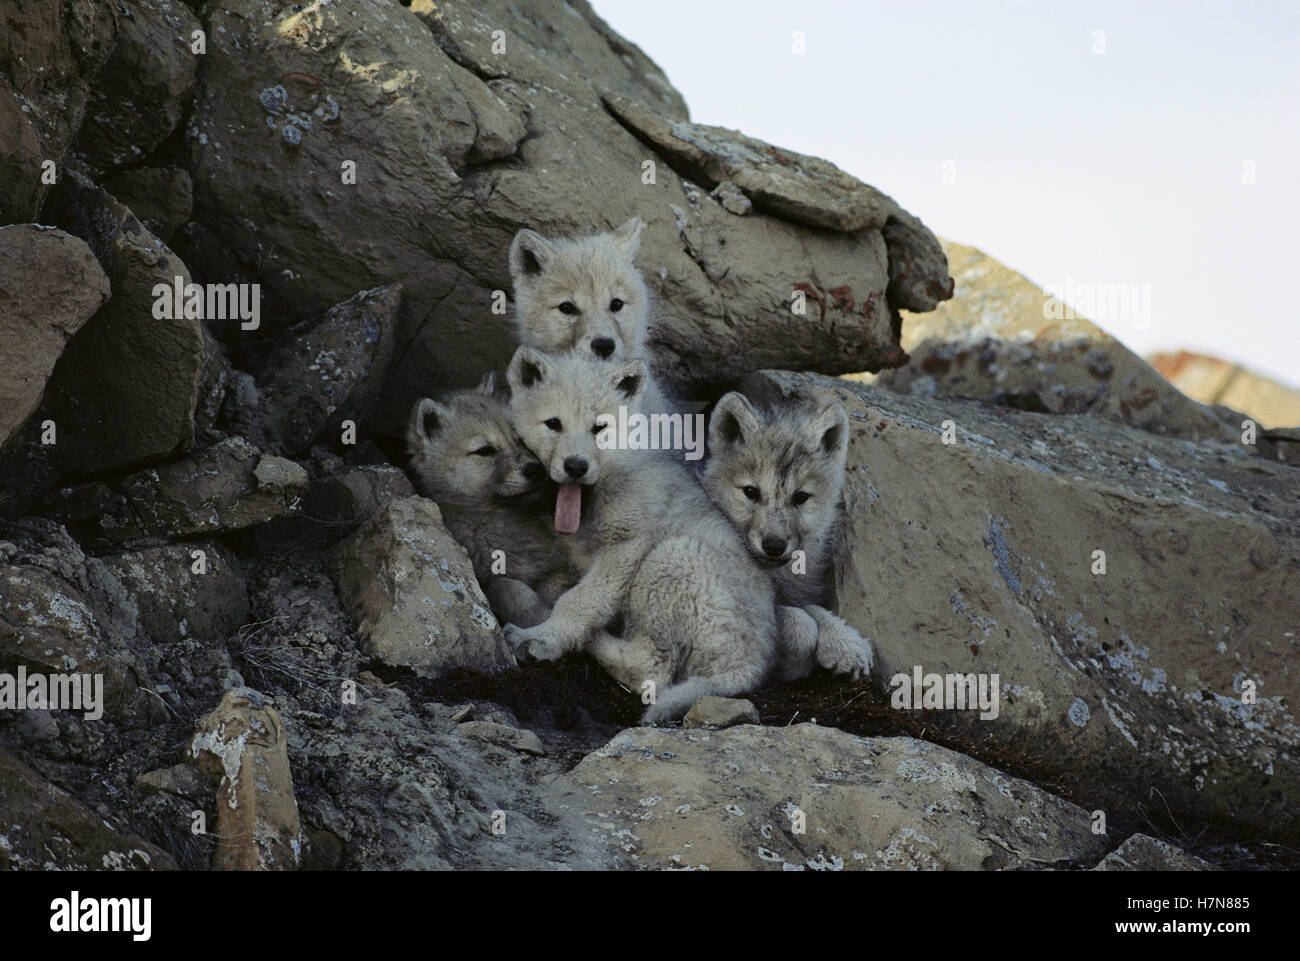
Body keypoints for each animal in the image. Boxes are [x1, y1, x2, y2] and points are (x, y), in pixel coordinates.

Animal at [406, 372, 578, 628]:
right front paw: (538, 615)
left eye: (520, 438)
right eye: (484, 450)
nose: (535, 470)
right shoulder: (485, 579)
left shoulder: (558, 565)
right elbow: (509, 589)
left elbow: (555, 584)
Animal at [501, 346, 780, 724]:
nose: (576, 466)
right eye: (553, 424)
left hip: (669, 559)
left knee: (651, 668)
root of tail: (750, 667)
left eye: (599, 427)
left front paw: (545, 638)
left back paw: (595, 641)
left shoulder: (628, 543)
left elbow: (582, 599)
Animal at [703, 391, 875, 680]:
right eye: (751, 492)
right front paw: (794, 665)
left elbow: (814, 609)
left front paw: (845, 644)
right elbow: (800, 623)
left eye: (800, 497)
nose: (774, 545)